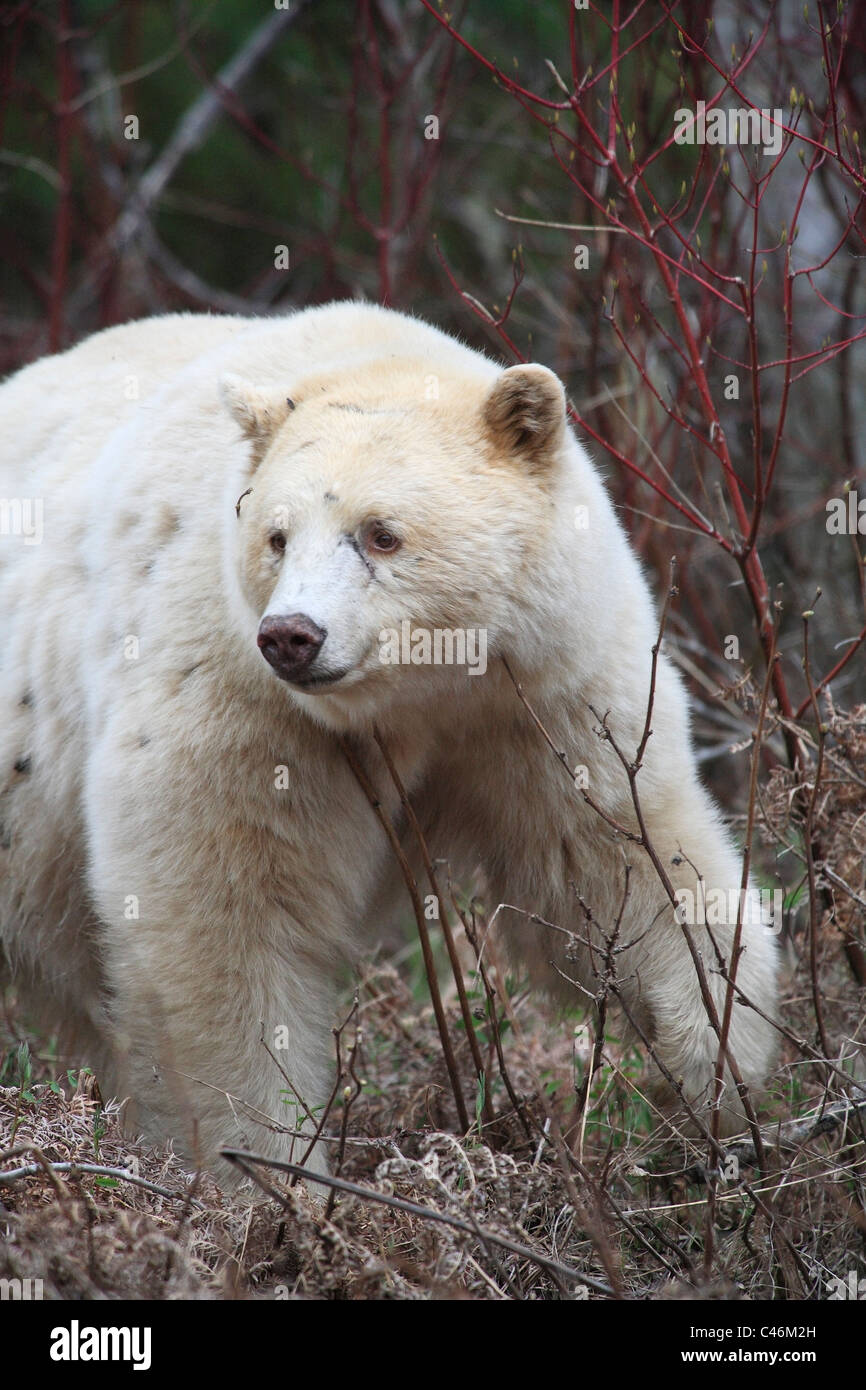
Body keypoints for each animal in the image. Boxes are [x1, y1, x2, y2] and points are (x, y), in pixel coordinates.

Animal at [0, 302, 778, 1180]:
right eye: (275, 535)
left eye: (380, 533)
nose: (291, 636)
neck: (416, 697)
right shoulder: (246, 703)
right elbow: (221, 916)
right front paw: (267, 1168)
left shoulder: (544, 696)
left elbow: (618, 856)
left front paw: (721, 1065)